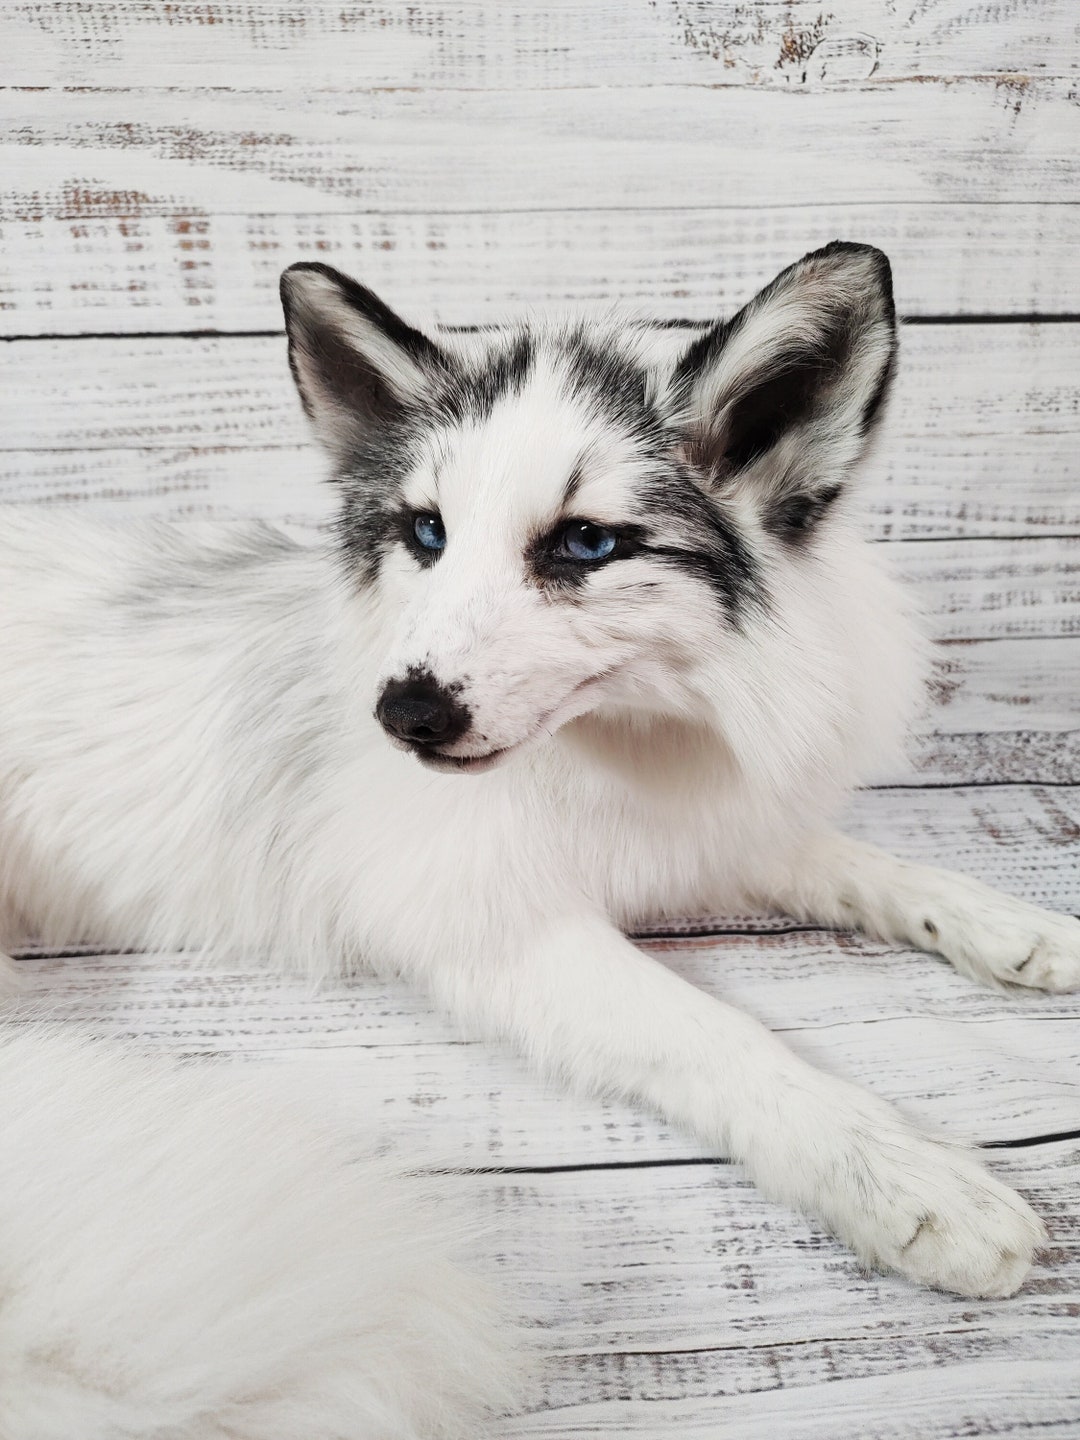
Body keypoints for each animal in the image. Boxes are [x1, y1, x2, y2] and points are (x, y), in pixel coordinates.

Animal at [0, 242, 1076, 1435]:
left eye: (586, 543)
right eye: (427, 532)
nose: (404, 714)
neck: (624, 743)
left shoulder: (702, 830)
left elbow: (865, 867)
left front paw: (1012, 927)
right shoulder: (491, 926)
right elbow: (719, 1038)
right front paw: (903, 1176)